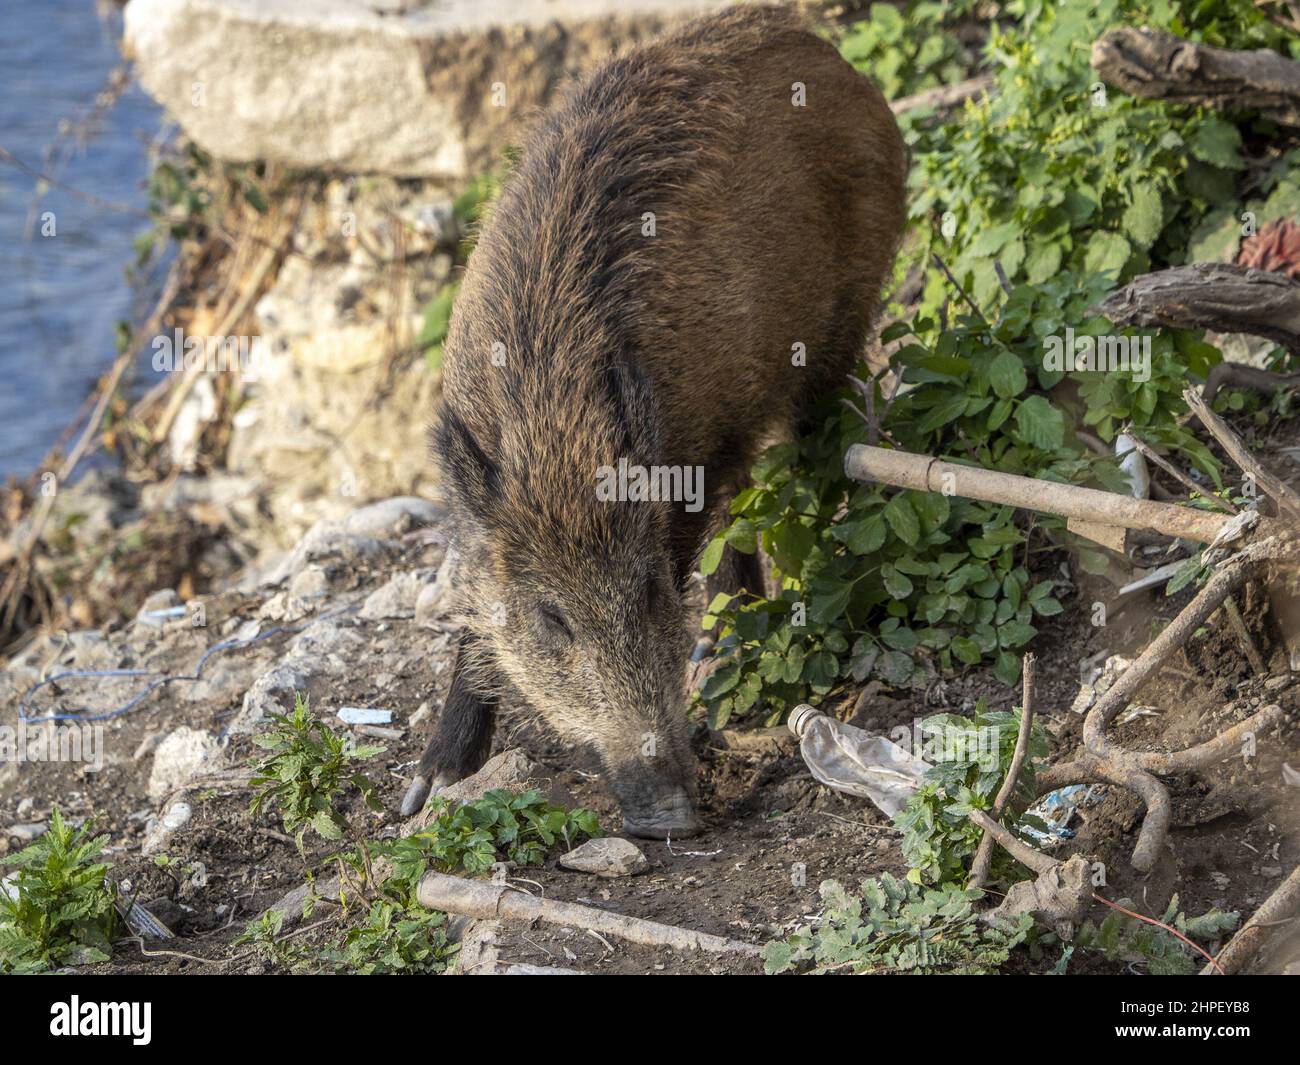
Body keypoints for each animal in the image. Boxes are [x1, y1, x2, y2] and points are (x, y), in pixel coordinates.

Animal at [401, 4, 907, 837]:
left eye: (646, 591)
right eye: (553, 618)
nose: (671, 811)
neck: (556, 424)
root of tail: (829, 55)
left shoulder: (687, 472)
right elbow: (476, 607)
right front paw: (429, 788)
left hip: (843, 319)